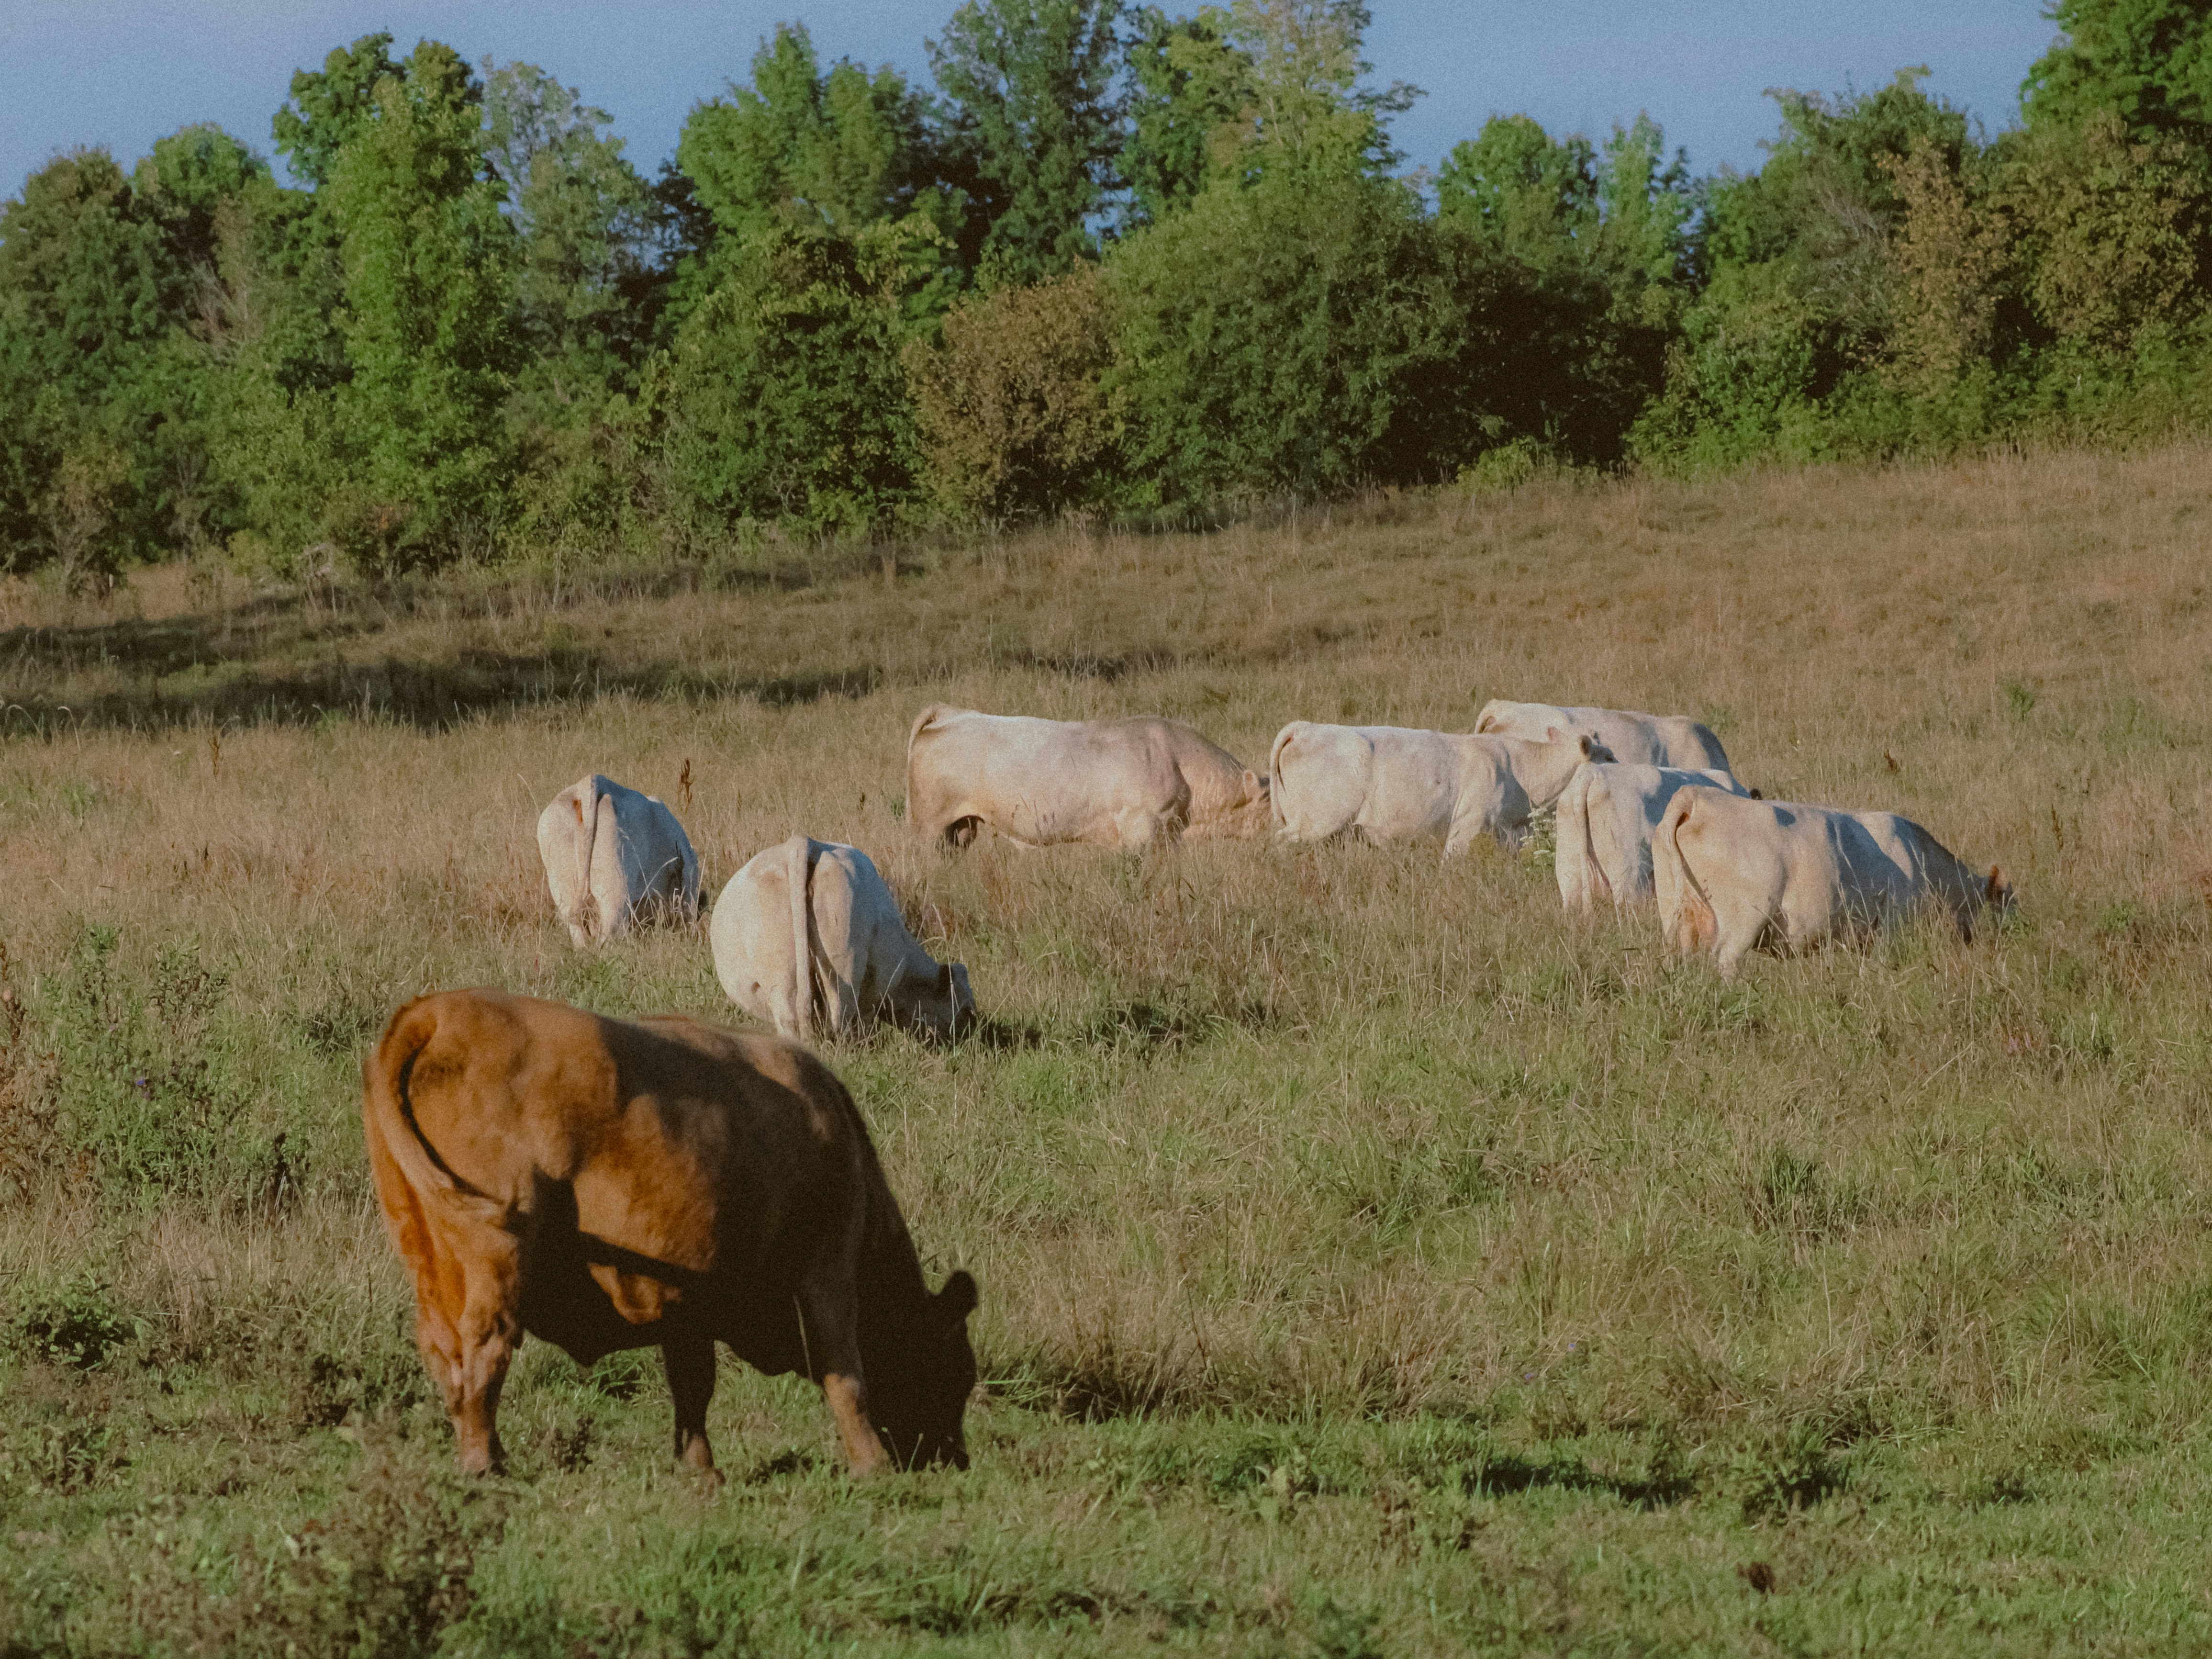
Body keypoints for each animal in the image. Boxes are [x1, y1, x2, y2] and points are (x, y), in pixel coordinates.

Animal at [362, 988, 979, 1479]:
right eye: (955, 1371)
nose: (952, 1458)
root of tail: (438, 1011)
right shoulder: (825, 1268)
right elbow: (844, 1373)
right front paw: (872, 1465)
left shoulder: (688, 1306)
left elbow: (692, 1388)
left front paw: (700, 1469)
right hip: (498, 1256)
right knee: (485, 1347)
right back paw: (486, 1460)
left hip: (429, 1257)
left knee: (443, 1350)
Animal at [712, 835, 974, 1044]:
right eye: (964, 1010)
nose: (970, 1038)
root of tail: (804, 842)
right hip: (845, 963)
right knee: (840, 1017)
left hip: (781, 974)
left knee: (792, 1019)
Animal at [1653, 786, 2012, 978]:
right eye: (2004, 904)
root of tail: (1695, 797)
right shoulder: (1892, 927)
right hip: (1744, 920)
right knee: (1727, 962)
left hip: (1674, 914)